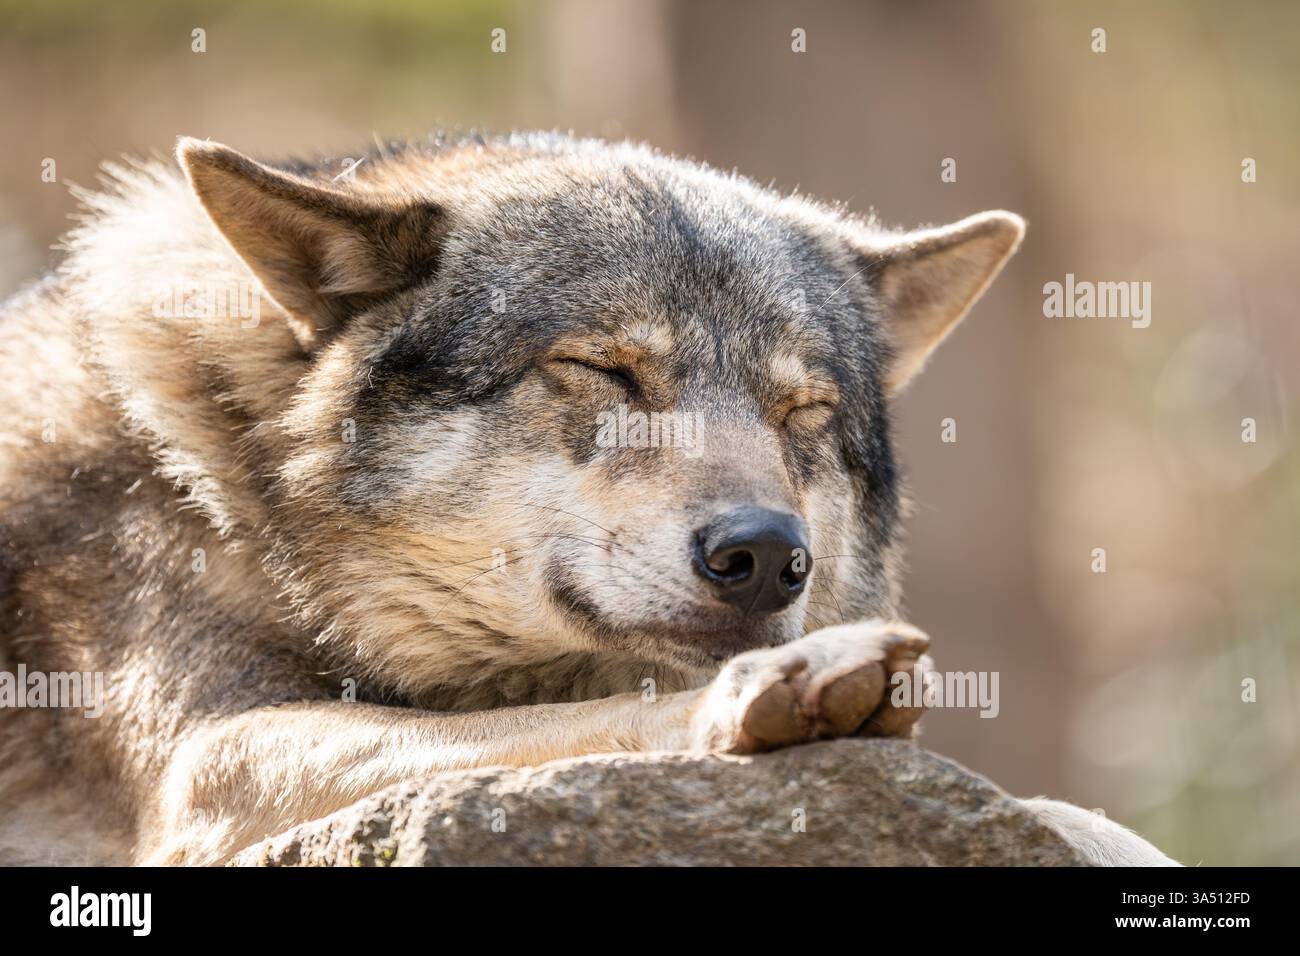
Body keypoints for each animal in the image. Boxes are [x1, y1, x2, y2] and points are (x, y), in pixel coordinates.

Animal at [0, 131, 1175, 866]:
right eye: (604, 370)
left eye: (800, 409)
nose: (764, 555)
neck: (239, 486)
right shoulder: (212, 765)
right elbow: (589, 716)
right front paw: (765, 698)